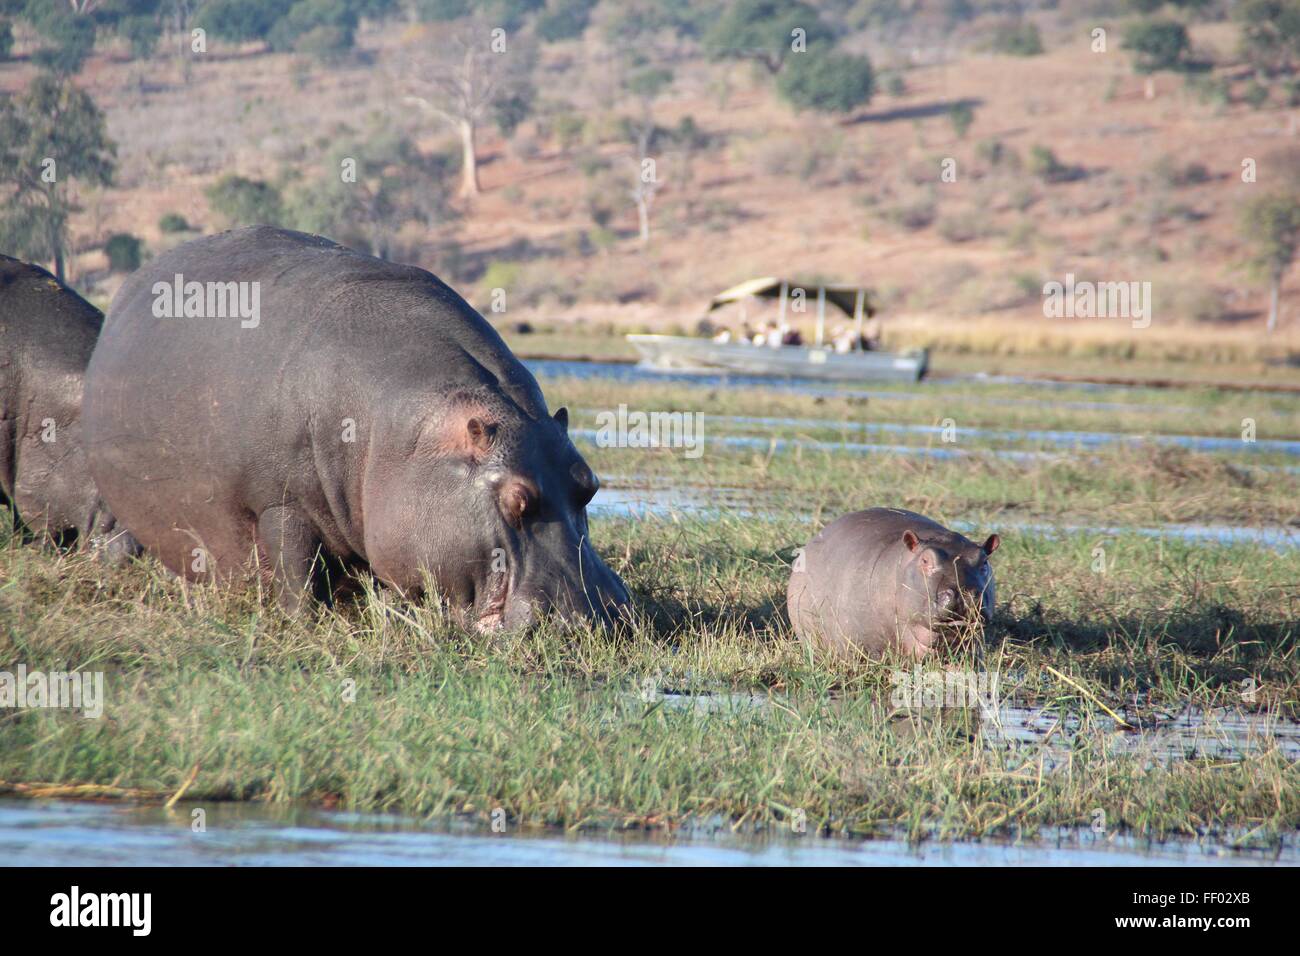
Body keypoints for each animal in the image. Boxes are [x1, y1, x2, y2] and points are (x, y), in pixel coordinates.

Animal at [83, 226, 629, 627]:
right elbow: (297, 574)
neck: (404, 438)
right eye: (517, 500)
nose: (600, 617)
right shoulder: (281, 500)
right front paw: (304, 626)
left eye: (589, 485)